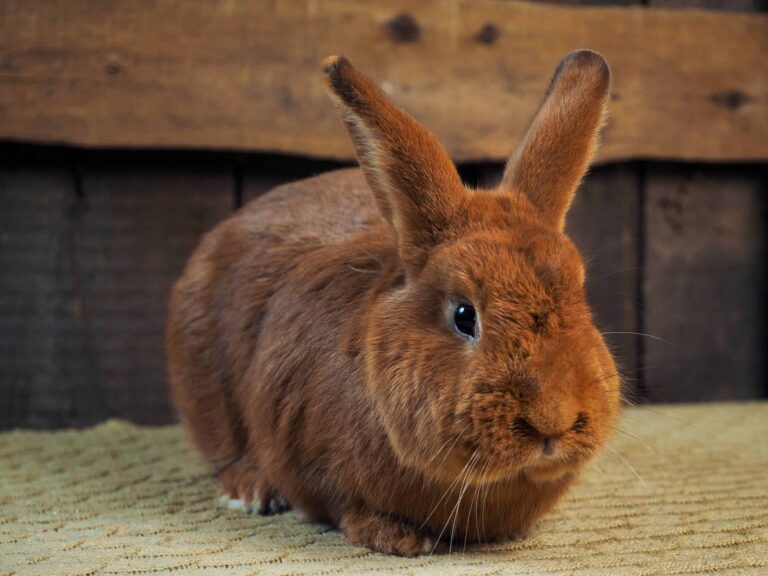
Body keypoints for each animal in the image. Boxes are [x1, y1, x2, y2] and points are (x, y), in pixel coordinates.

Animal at [166, 49, 621, 556]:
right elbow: (342, 505)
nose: (552, 419)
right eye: (464, 315)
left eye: (580, 295)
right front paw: (397, 538)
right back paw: (250, 490)